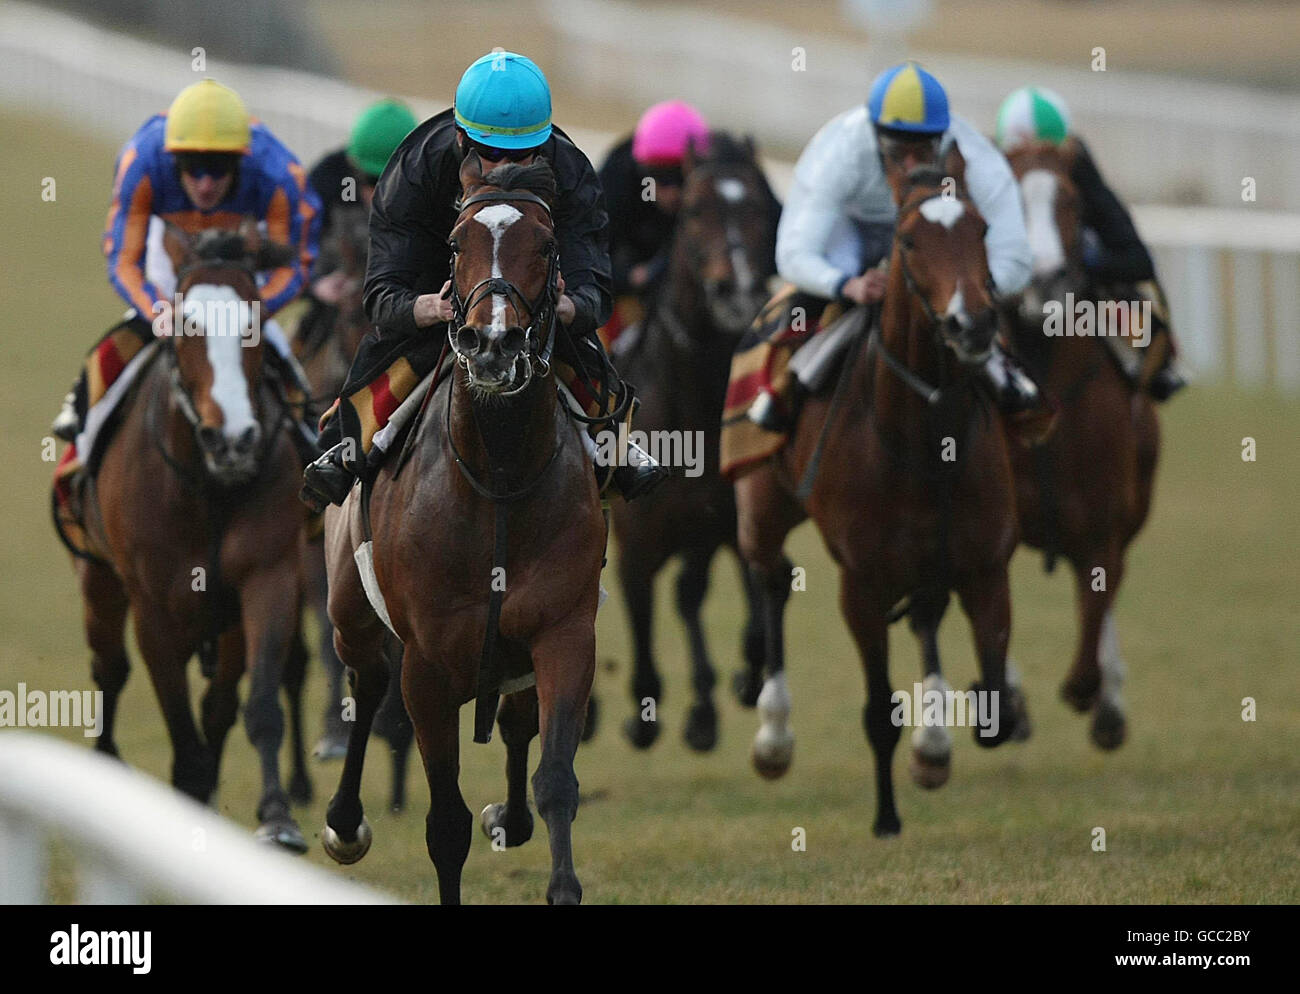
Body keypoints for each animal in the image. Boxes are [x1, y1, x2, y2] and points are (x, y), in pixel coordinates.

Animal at [73, 224, 313, 850]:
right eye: (186, 325)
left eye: (255, 321)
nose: (233, 438)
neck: (206, 486)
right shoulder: (151, 605)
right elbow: (181, 734)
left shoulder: (269, 578)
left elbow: (254, 706)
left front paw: (277, 816)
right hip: (98, 578)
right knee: (109, 668)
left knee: (219, 705)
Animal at [321, 153, 607, 904]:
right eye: (455, 245)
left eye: (547, 245)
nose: (494, 343)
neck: (499, 475)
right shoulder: (427, 665)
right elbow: (444, 823)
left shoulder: (565, 632)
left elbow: (556, 780)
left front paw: (557, 877)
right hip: (348, 606)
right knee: (365, 681)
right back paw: (343, 823)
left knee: (514, 720)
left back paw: (506, 814)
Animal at [612, 133, 777, 752]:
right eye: (694, 213)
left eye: (763, 208)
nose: (737, 288)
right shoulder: (635, 543)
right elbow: (637, 614)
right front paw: (641, 715)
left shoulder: (722, 523)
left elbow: (744, 613)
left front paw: (731, 691)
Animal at [734, 166, 1028, 837]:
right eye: (910, 241)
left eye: (982, 229)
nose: (972, 325)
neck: (923, 439)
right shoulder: (861, 584)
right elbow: (875, 710)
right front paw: (887, 817)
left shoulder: (986, 567)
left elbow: (994, 703)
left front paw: (937, 744)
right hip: (763, 499)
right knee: (772, 575)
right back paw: (772, 739)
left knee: (925, 612)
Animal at [1003, 140, 1160, 749]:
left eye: (1071, 200)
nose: (1043, 280)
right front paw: (1009, 703)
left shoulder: (1102, 528)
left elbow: (1097, 608)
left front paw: (1097, 694)